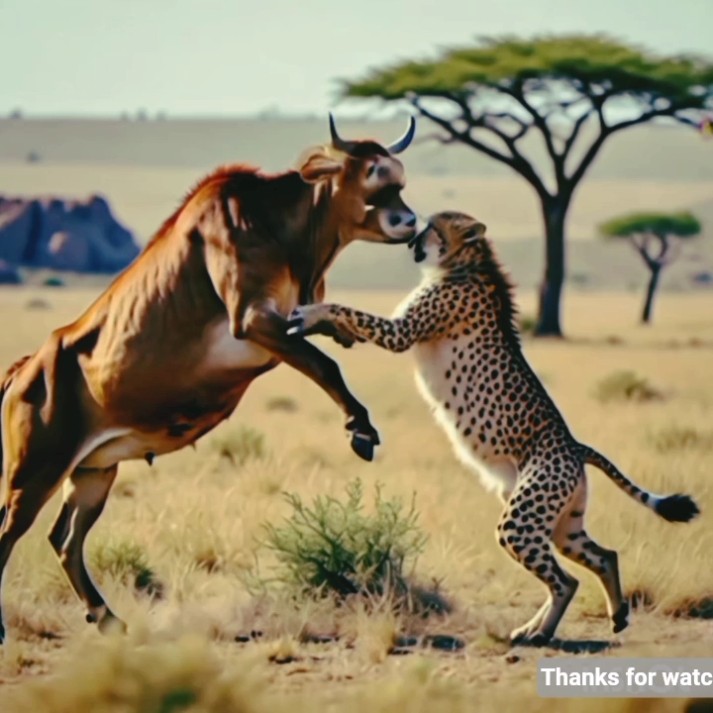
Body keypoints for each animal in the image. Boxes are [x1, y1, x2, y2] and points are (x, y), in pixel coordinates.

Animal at [0, 115, 417, 641]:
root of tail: (24, 370)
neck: (276, 224)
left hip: (93, 471)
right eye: (370, 173)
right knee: (9, 533)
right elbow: (325, 365)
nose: (410, 222)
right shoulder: (254, 320)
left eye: (399, 176)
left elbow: (328, 335)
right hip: (34, 472)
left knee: (65, 539)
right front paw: (360, 430)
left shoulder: (291, 318)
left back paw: (108, 618)